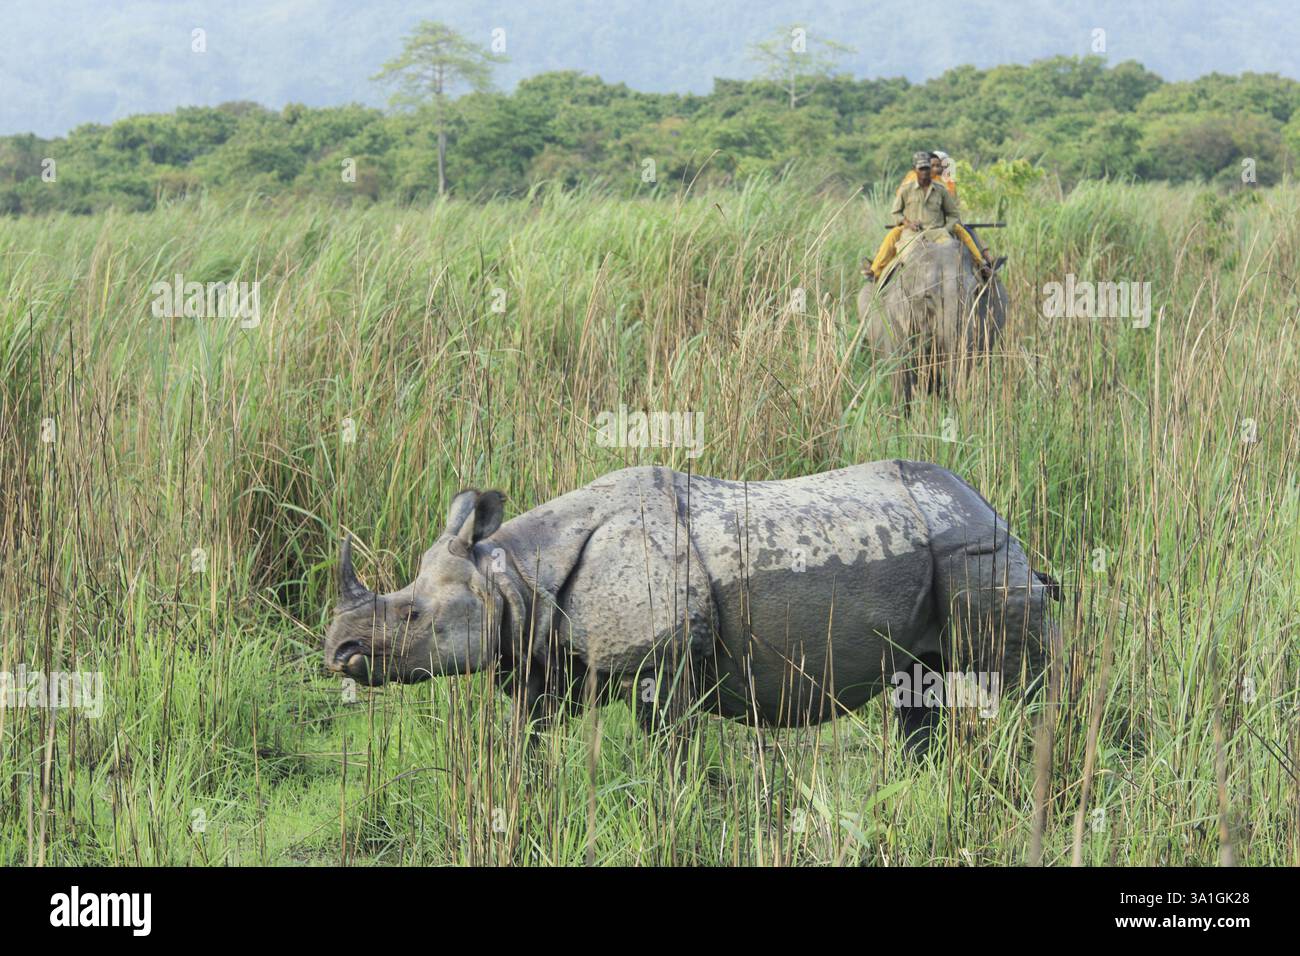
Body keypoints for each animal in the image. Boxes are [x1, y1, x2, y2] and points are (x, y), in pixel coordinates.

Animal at [323, 460, 1057, 752]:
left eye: (413, 617)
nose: (338, 652)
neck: (513, 570)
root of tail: (984, 504)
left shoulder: (663, 662)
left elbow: (669, 756)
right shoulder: (539, 653)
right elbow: (526, 740)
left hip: (976, 554)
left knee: (1009, 675)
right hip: (946, 546)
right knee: (919, 685)